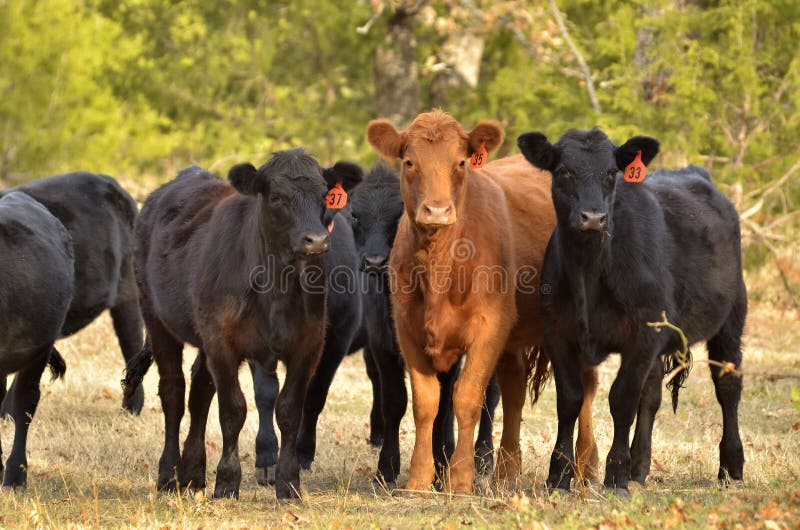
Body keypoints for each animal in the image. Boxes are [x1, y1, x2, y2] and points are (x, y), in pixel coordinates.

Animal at [124, 149, 362, 500]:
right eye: (277, 197)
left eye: (324, 196)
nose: (316, 241)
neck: (276, 285)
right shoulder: (224, 345)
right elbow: (233, 410)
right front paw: (226, 482)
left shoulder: (308, 345)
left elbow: (289, 410)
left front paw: (288, 482)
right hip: (156, 318)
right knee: (173, 393)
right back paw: (168, 474)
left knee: (199, 391)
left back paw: (193, 473)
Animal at [366, 110, 599, 493]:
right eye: (409, 162)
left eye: (460, 162)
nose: (437, 210)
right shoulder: (407, 330)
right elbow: (427, 403)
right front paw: (419, 478)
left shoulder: (489, 328)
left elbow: (467, 398)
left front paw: (460, 479)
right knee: (515, 390)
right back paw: (507, 471)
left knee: (588, 387)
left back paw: (585, 468)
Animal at [518, 128, 747, 497]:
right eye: (564, 171)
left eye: (612, 172)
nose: (594, 217)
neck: (589, 274)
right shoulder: (557, 331)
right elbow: (570, 400)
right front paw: (559, 476)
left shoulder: (643, 333)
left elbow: (622, 399)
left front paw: (615, 476)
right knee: (651, 396)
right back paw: (640, 468)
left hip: (731, 319)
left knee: (728, 388)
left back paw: (731, 468)